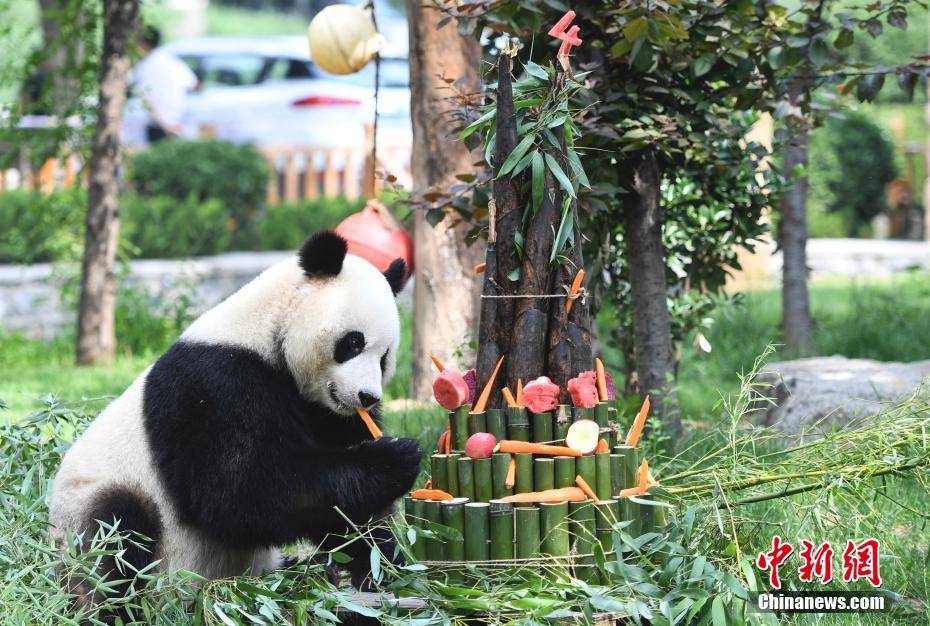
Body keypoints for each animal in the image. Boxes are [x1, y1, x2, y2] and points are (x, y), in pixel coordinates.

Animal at [49, 230, 424, 600]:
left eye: (385, 357)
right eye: (353, 343)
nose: (367, 397)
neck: (270, 325)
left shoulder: (324, 412)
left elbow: (345, 512)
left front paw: (383, 566)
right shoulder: (216, 383)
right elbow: (241, 488)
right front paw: (395, 458)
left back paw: (308, 571)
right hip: (93, 508)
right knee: (114, 534)